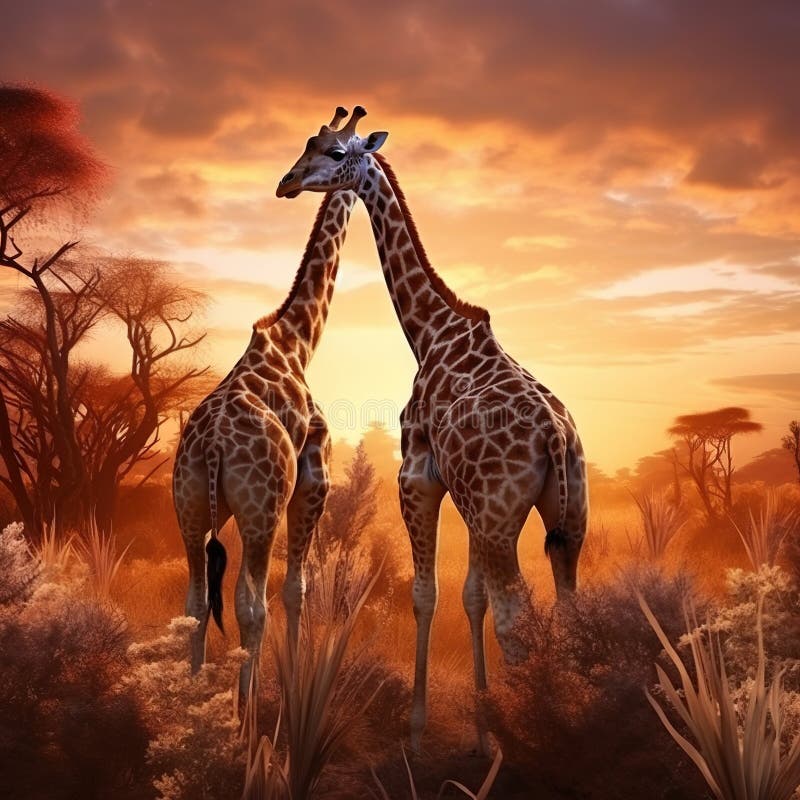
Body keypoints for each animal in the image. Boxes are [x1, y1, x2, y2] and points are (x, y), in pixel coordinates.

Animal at [173, 109, 357, 697]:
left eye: (325, 148)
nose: (287, 183)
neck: (299, 339)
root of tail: (211, 450)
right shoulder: (314, 475)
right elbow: (298, 588)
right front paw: (295, 678)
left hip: (187, 507)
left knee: (194, 602)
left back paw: (191, 693)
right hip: (261, 512)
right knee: (251, 604)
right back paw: (246, 704)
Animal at [276, 106, 589, 753]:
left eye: (337, 152)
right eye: (308, 143)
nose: (286, 183)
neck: (429, 331)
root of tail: (555, 436)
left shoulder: (416, 474)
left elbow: (428, 595)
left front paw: (419, 732)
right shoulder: (464, 496)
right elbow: (470, 598)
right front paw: (480, 727)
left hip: (500, 519)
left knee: (518, 618)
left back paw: (528, 739)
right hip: (569, 517)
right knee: (567, 609)